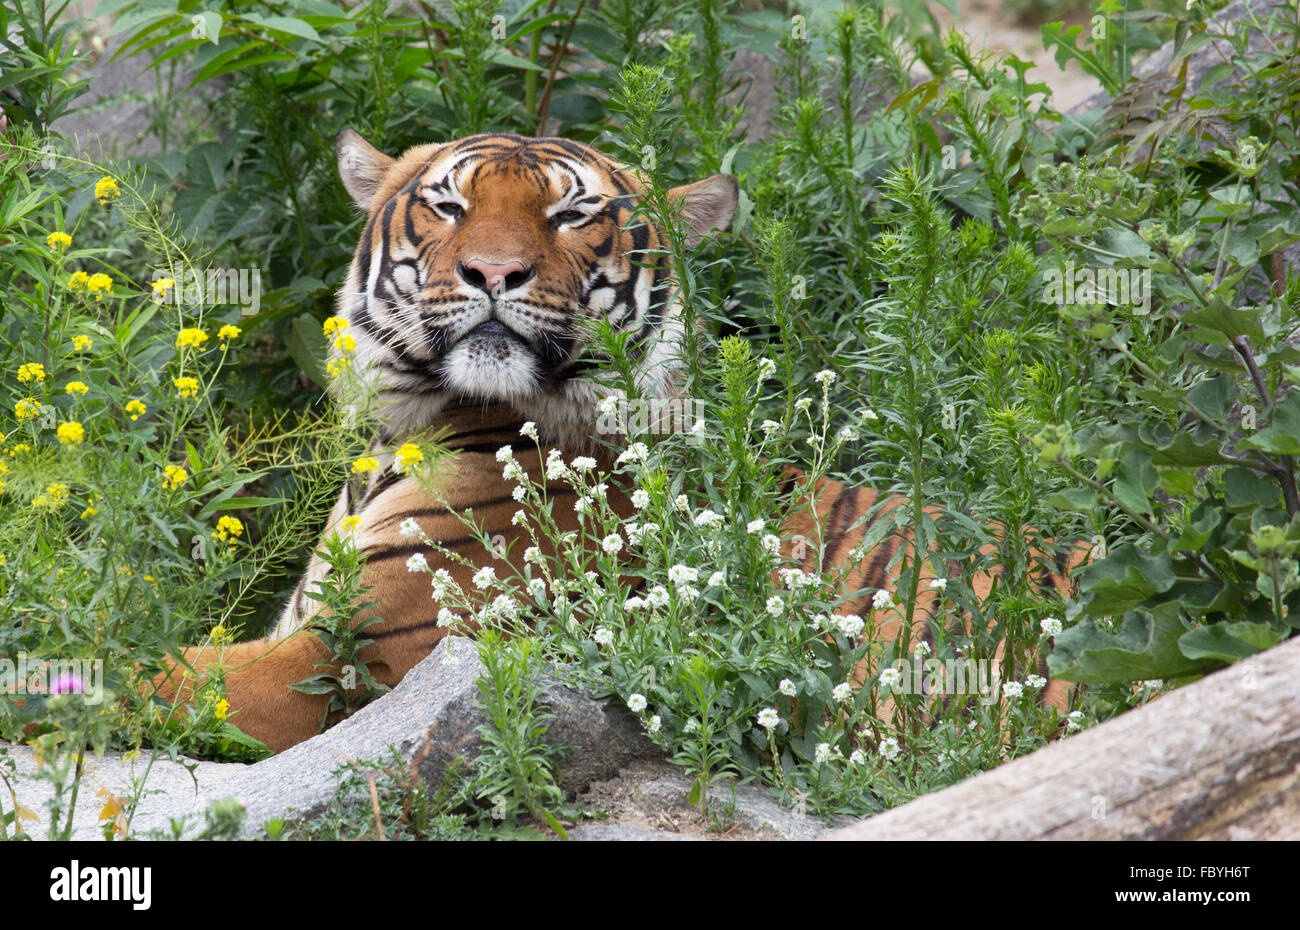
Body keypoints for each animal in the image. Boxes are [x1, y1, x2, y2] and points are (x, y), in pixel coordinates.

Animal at [154, 130, 1084, 753]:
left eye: (571, 214)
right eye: (450, 206)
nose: (494, 273)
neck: (401, 434)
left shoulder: (357, 653)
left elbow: (162, 673)